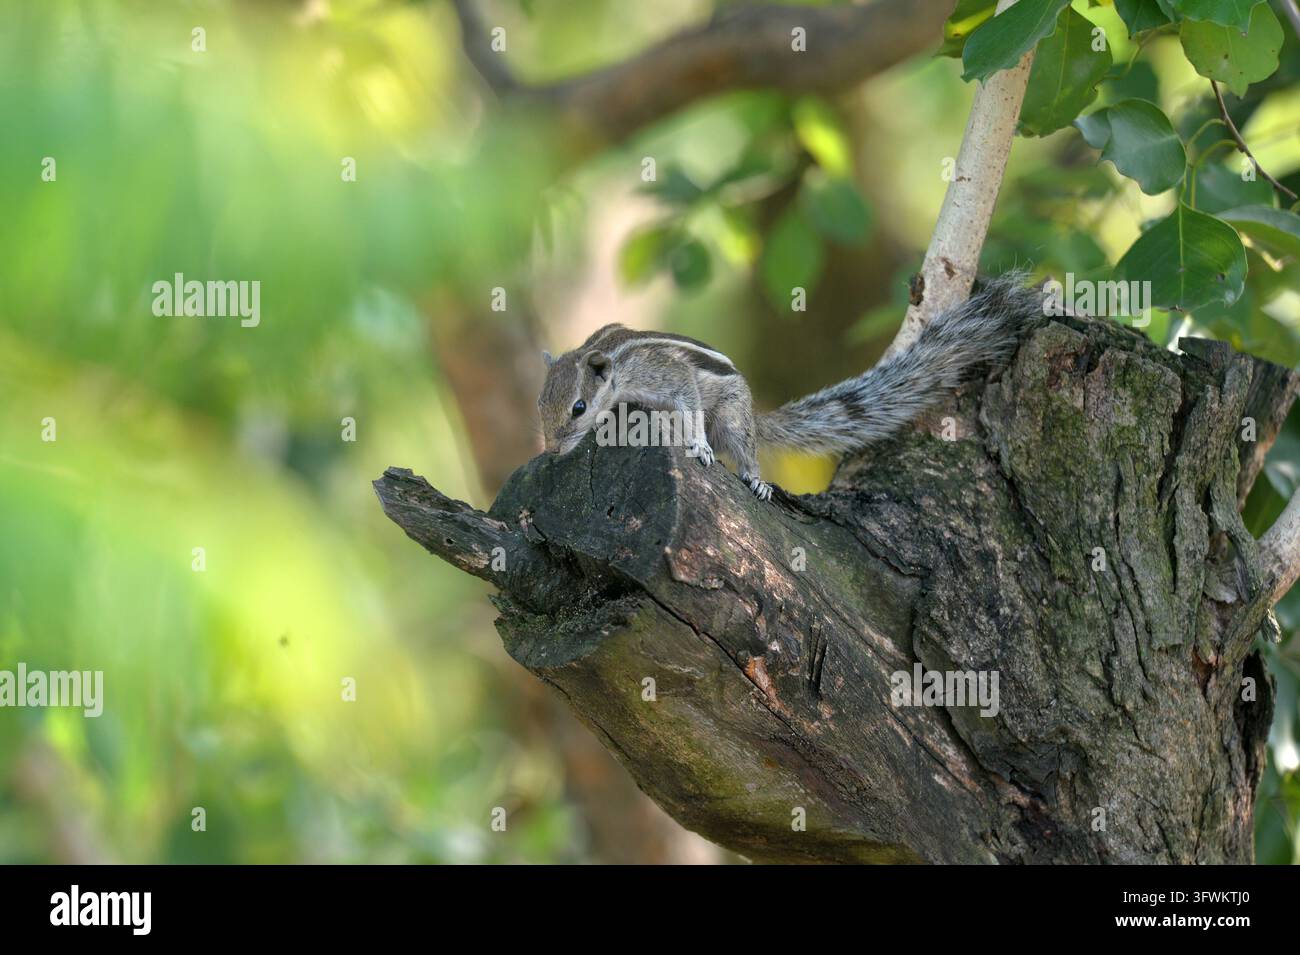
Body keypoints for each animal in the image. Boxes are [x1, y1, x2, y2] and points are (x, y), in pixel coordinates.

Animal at [537, 274, 1043, 501]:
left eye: (579, 407)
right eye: (542, 404)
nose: (553, 451)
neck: (613, 360)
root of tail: (756, 416)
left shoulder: (667, 373)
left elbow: (689, 401)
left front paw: (698, 446)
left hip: (734, 418)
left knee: (744, 449)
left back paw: (755, 479)